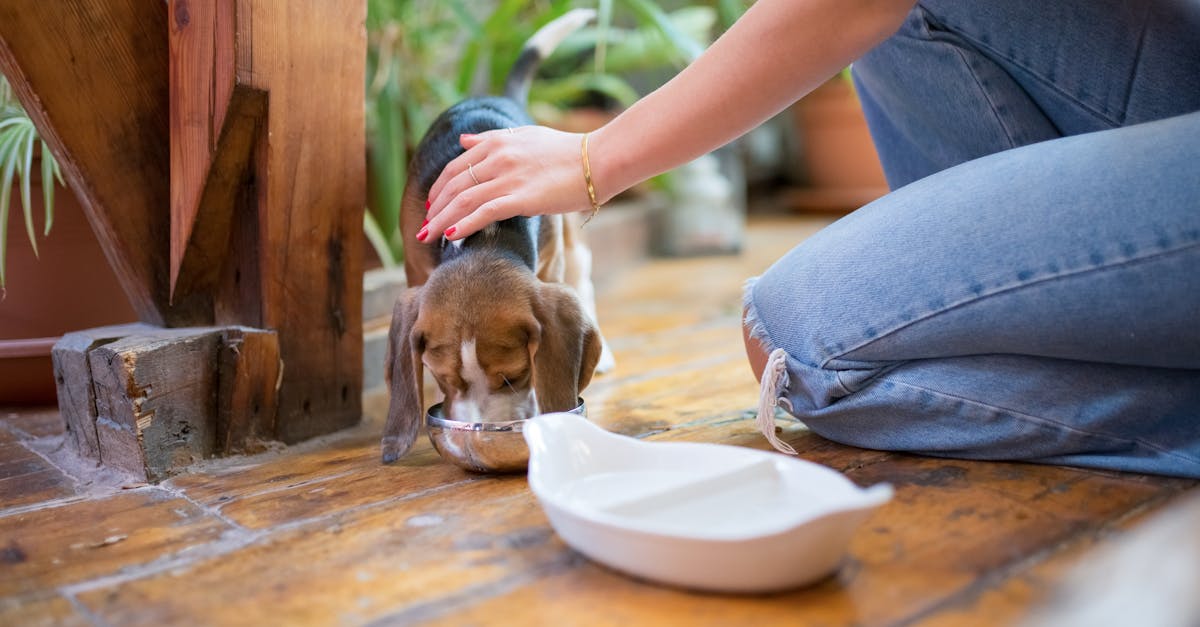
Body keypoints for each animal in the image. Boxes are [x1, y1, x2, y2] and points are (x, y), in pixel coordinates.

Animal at [384, 7, 609, 461]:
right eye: (441, 377)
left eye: (514, 375)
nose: (474, 434)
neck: (484, 236)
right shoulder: (416, 267)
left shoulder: (551, 267)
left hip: (569, 237)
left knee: (583, 276)